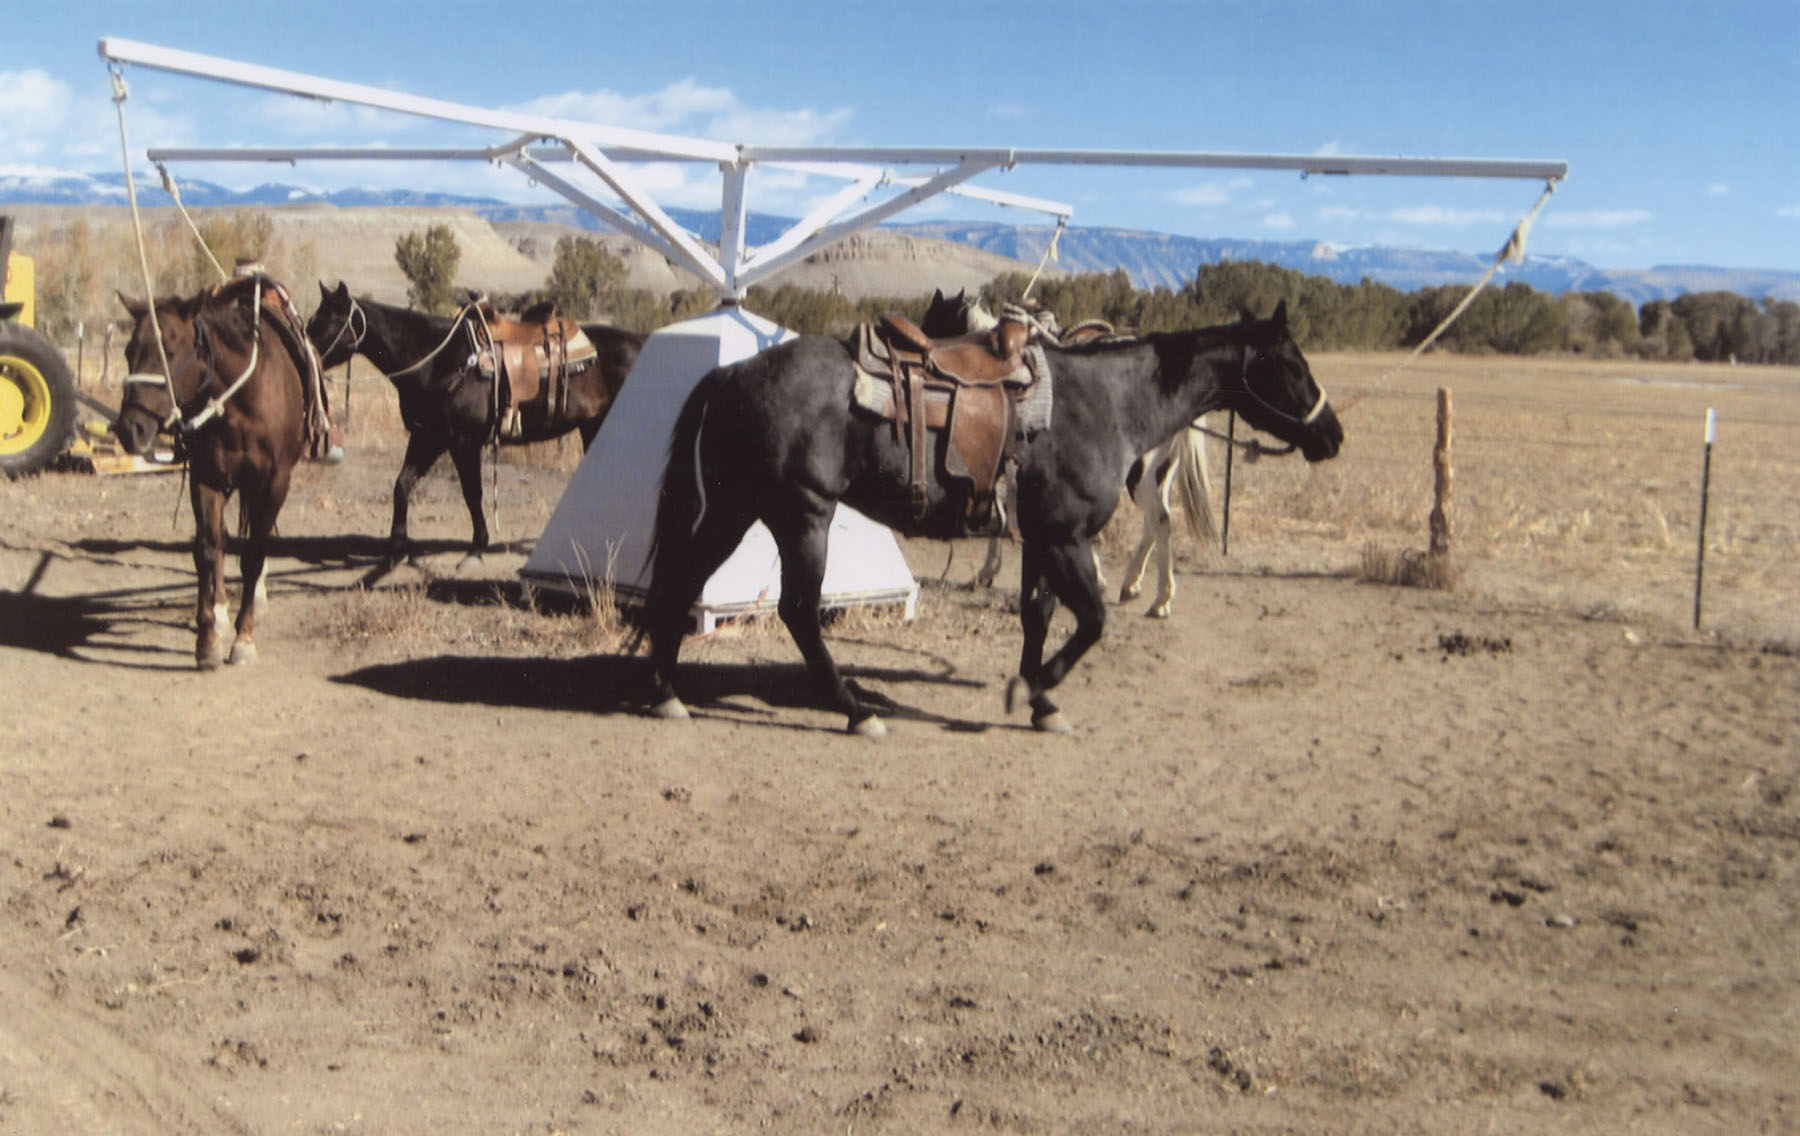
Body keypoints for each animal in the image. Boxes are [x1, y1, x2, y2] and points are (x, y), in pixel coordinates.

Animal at [114, 275, 319, 668]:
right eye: (129, 351)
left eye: (170, 352)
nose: (131, 429)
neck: (242, 399)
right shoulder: (206, 477)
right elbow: (209, 550)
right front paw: (208, 638)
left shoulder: (273, 483)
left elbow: (254, 555)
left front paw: (244, 639)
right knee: (220, 541)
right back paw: (222, 609)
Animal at [304, 282, 643, 565]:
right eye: (311, 321)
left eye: (327, 322)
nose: (305, 358)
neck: (437, 360)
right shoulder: (428, 436)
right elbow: (402, 485)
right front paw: (397, 548)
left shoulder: (462, 440)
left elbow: (472, 492)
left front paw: (477, 546)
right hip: (593, 426)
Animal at [921, 289, 1218, 618]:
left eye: (931, 322)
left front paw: (988, 570)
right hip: (1162, 471)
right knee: (1154, 523)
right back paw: (1132, 584)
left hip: (1140, 475)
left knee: (1161, 520)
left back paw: (1162, 598)